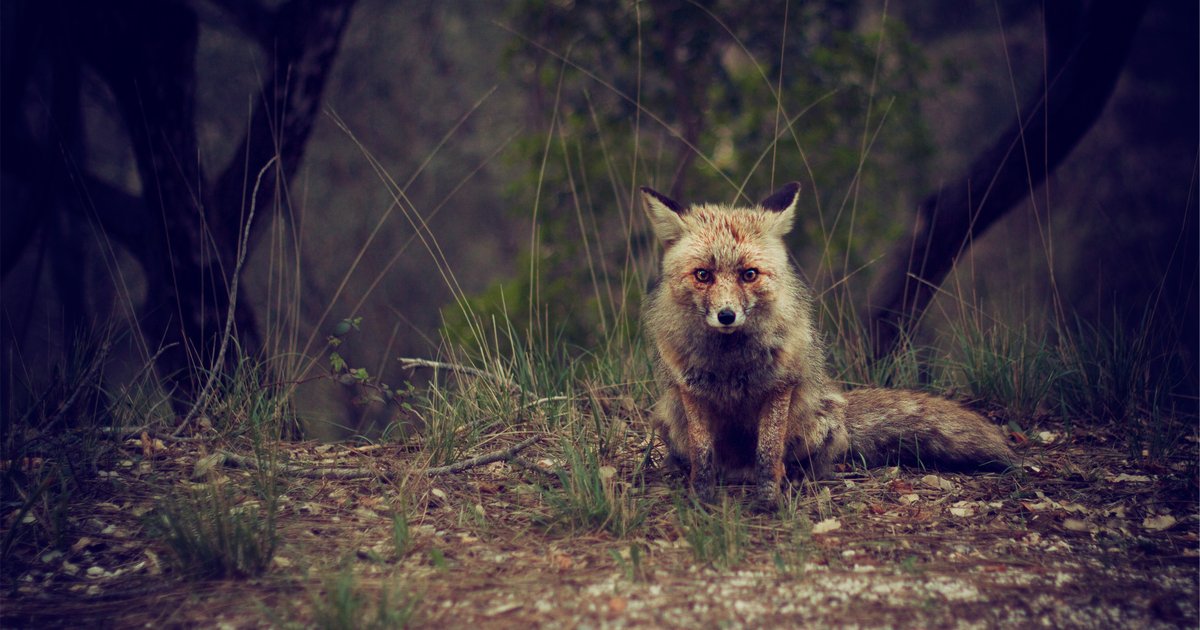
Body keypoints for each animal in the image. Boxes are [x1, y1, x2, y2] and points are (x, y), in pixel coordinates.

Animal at [640, 182, 1016, 506]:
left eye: (749, 274)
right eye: (703, 275)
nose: (727, 315)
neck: (729, 363)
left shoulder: (780, 385)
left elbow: (768, 452)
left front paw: (768, 500)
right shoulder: (691, 388)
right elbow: (703, 455)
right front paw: (700, 497)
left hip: (817, 427)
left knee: (811, 463)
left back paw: (798, 477)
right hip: (669, 421)